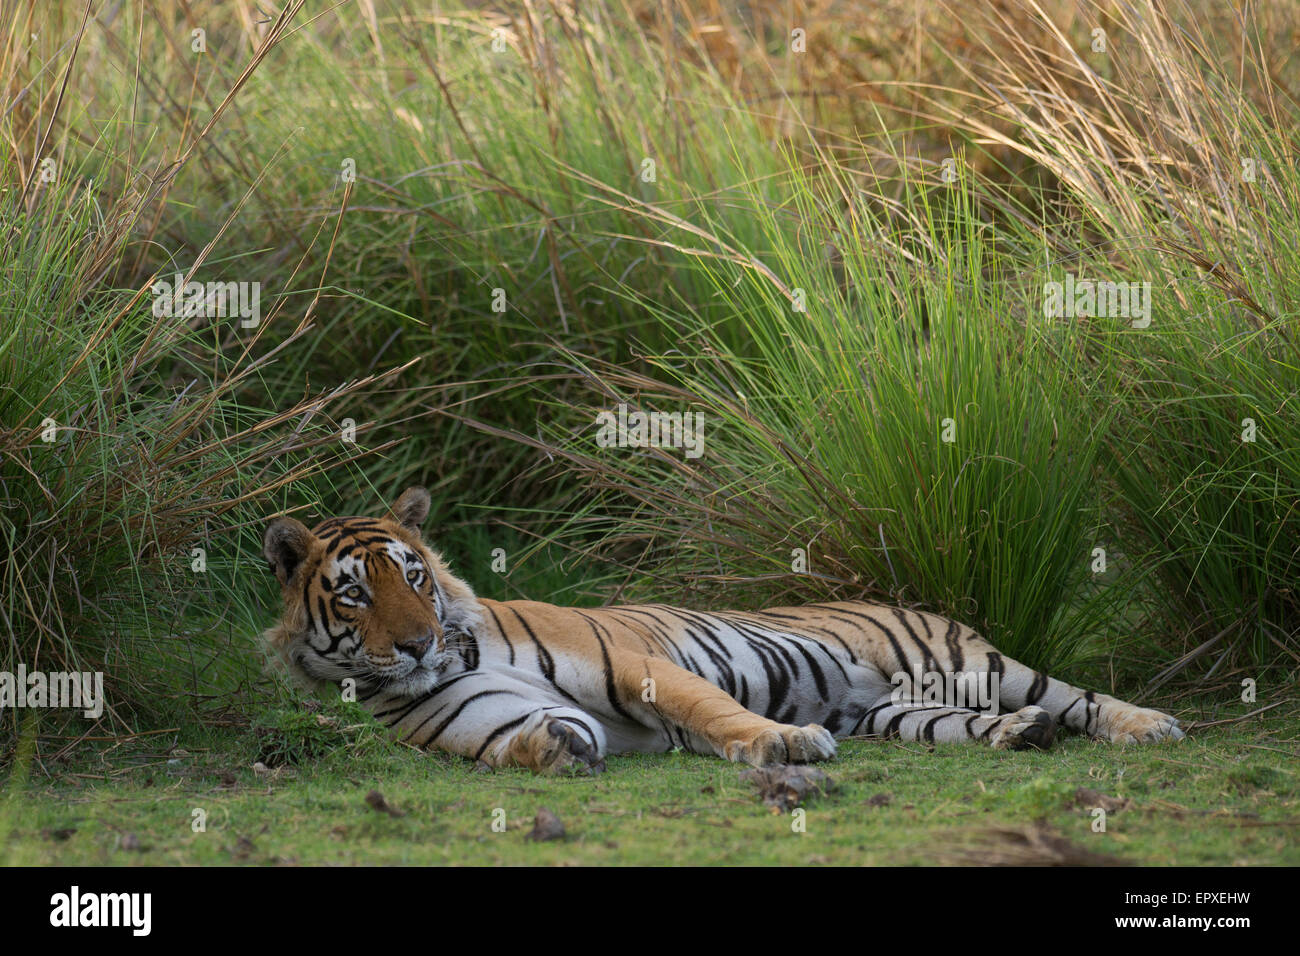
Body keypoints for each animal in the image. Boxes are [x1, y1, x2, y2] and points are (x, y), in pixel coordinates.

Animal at [260, 487, 1185, 774]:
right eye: (355, 596)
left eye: (413, 576)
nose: (420, 643)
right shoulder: (475, 719)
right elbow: (522, 736)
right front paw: (558, 747)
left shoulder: (632, 661)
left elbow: (711, 710)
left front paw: (783, 744)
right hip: (898, 710)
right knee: (967, 725)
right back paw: (1020, 736)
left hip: (970, 661)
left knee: (1077, 695)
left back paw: (1147, 726)